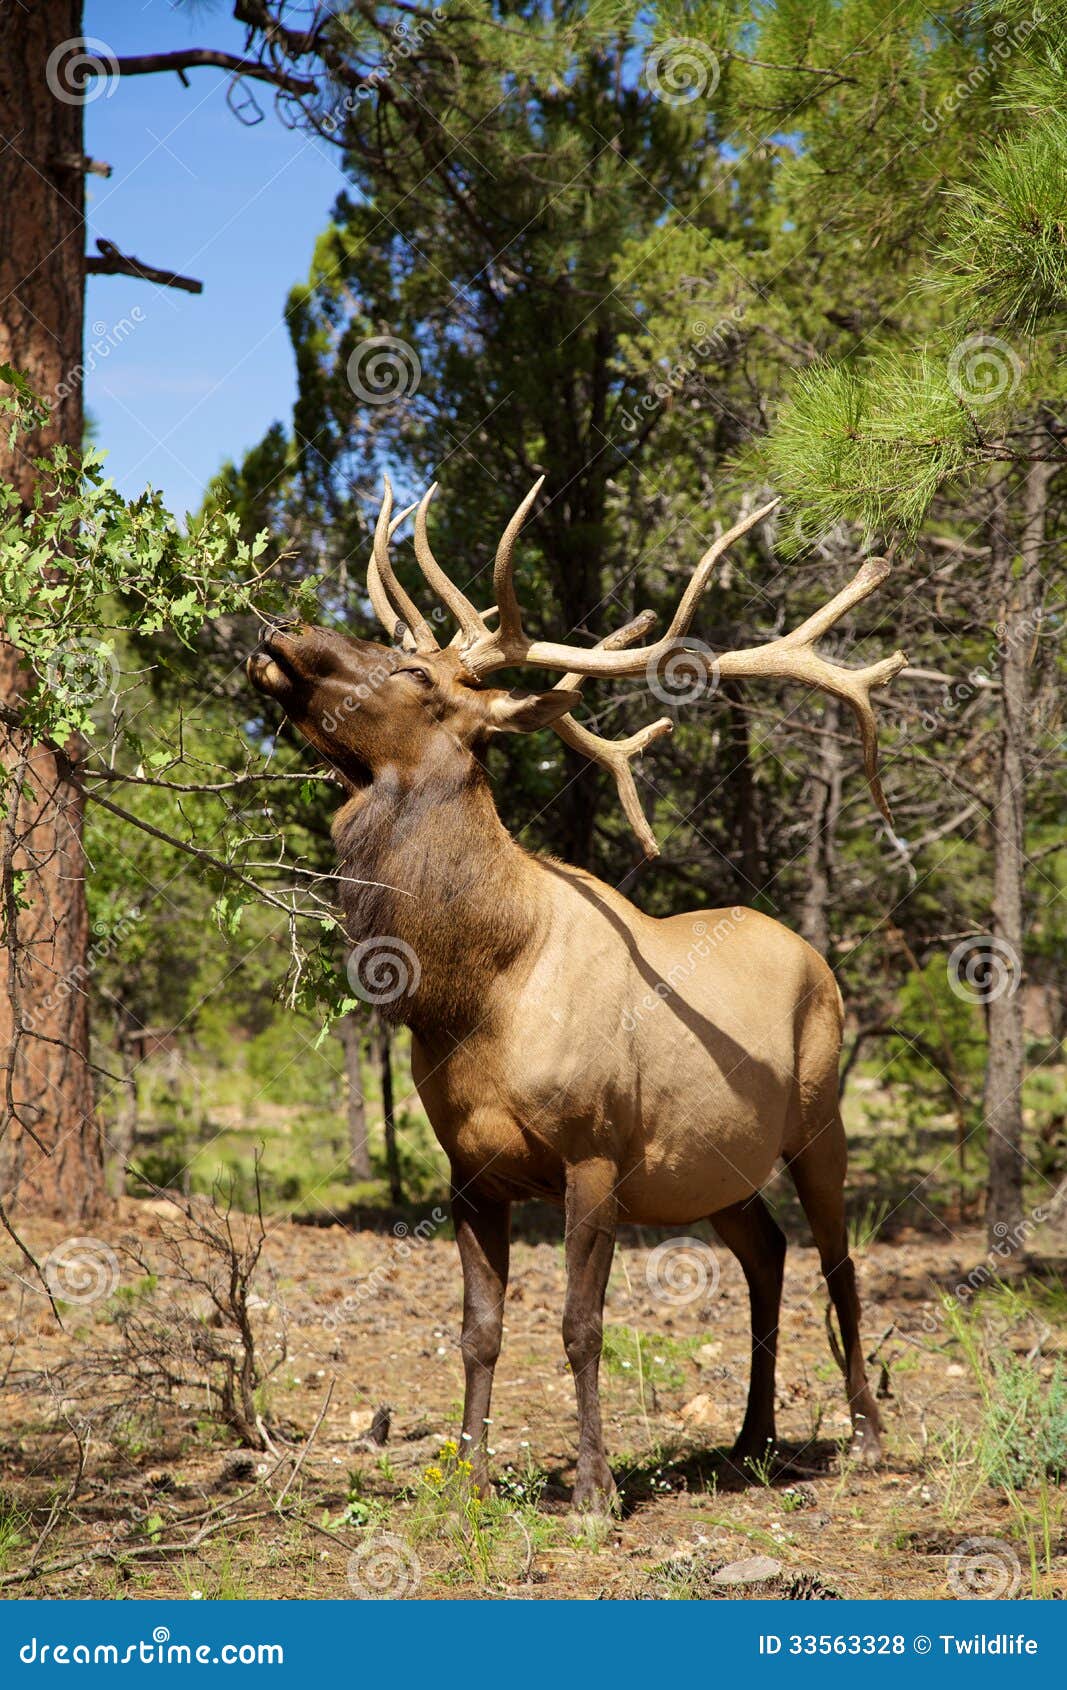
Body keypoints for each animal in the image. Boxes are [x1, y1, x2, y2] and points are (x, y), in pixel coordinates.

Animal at [247, 478, 907, 1512]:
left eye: (417, 675)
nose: (286, 631)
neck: (471, 995)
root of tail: (814, 954)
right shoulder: (468, 1170)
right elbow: (479, 1329)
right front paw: (467, 1478)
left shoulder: (592, 1152)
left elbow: (578, 1325)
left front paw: (595, 1490)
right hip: (708, 1165)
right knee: (765, 1252)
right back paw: (750, 1437)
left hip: (819, 1116)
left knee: (837, 1260)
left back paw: (867, 1434)